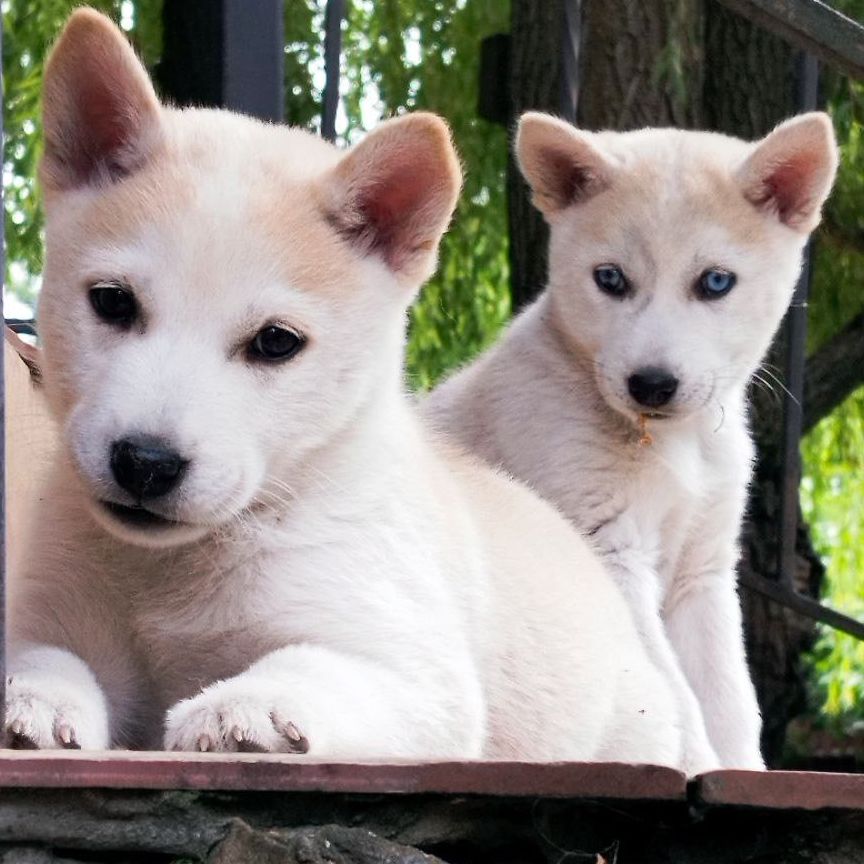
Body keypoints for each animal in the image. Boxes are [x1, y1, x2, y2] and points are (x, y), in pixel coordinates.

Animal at [5, 8, 680, 764]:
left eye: (276, 342)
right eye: (113, 302)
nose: (146, 464)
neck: (172, 569)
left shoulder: (414, 673)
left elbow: (310, 665)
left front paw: (245, 707)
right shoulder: (53, 616)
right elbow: (48, 657)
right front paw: (34, 697)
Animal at [428, 109, 840, 776]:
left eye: (716, 281)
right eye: (611, 279)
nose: (651, 383)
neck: (678, 447)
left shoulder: (704, 572)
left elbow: (729, 695)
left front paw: (742, 771)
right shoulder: (608, 549)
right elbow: (673, 689)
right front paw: (698, 763)